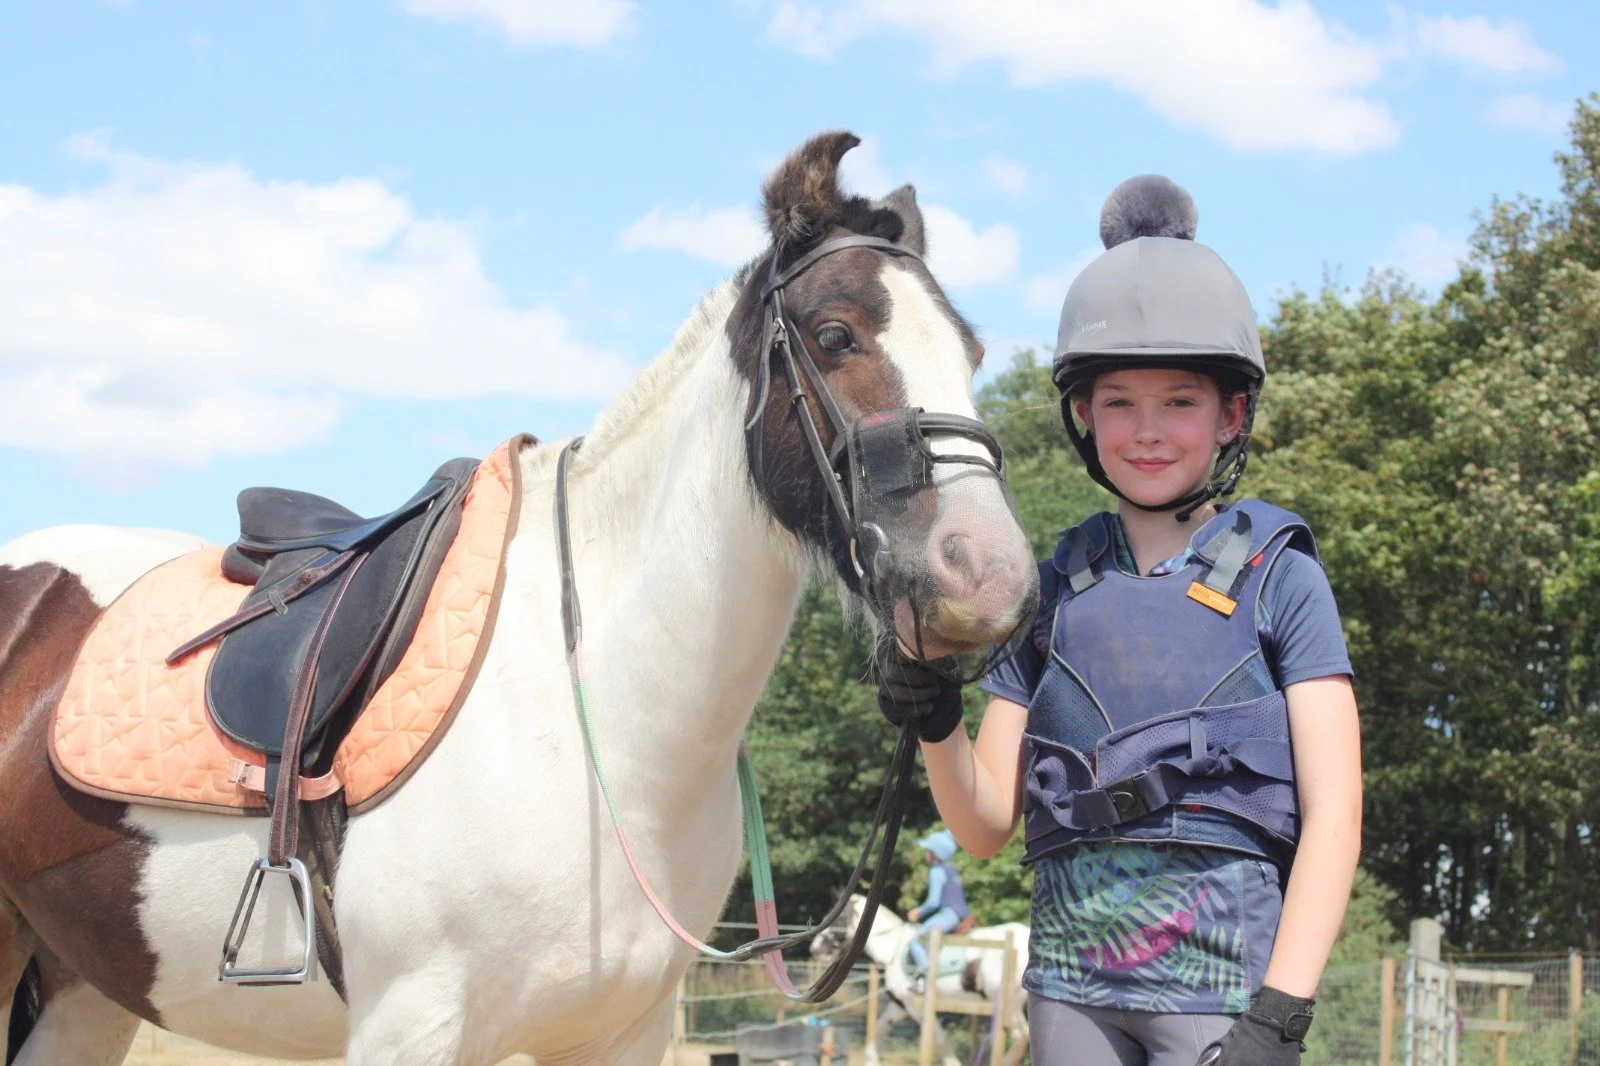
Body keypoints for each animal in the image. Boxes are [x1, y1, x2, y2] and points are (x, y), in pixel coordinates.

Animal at [810, 894, 1030, 1066]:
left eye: (839, 919)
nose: (815, 949)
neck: (893, 949)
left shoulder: (917, 1006)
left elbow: (939, 1038)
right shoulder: (900, 1006)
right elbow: (878, 1033)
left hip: (1006, 1004)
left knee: (1021, 1036)